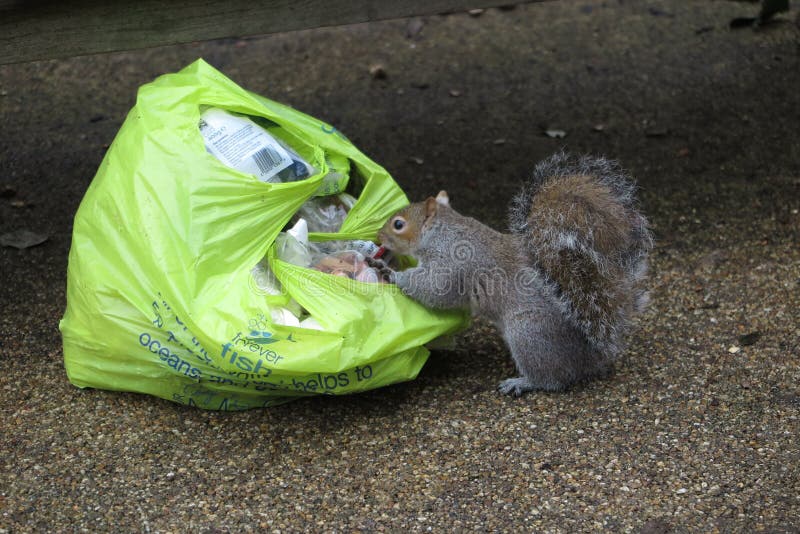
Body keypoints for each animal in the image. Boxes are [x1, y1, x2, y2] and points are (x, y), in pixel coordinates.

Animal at [371, 151, 654, 396]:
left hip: (529, 334)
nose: (378, 236)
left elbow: (435, 289)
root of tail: (592, 358)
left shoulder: (452, 263)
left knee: (553, 379)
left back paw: (522, 382)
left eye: (398, 224)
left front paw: (391, 273)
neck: (443, 232)